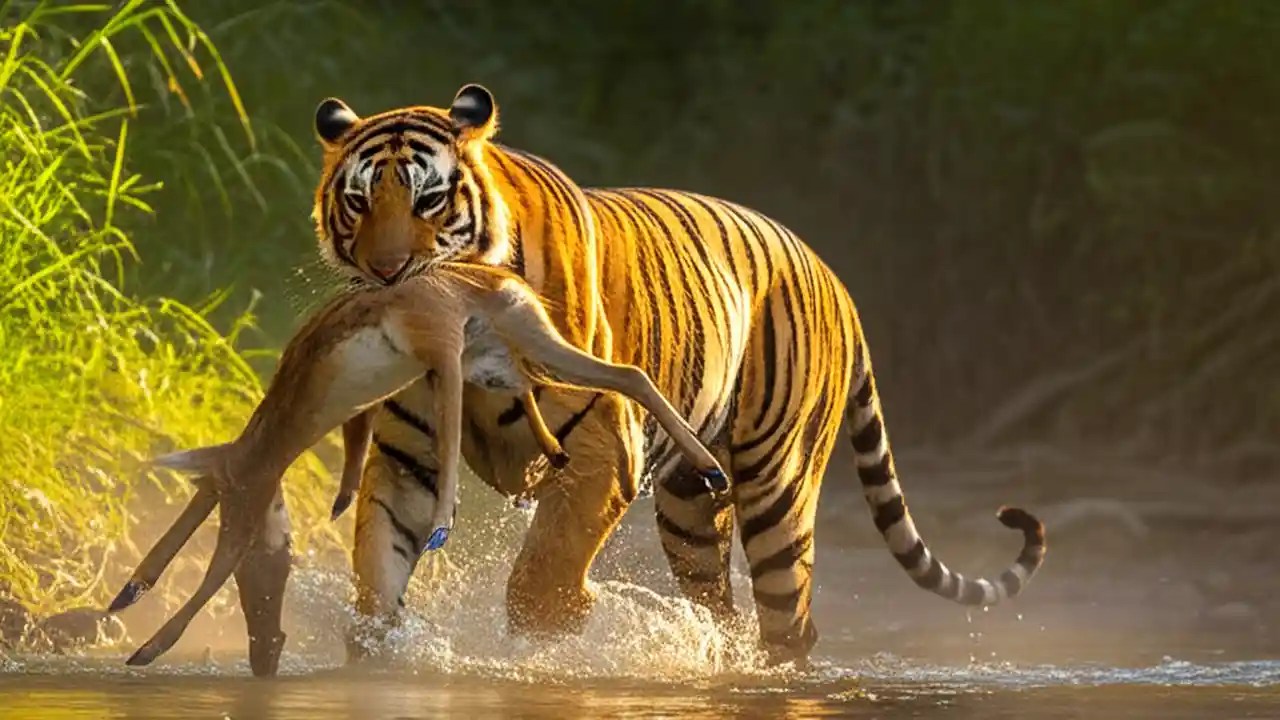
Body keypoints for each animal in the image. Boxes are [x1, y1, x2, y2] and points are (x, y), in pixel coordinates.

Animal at [228, 83, 1048, 676]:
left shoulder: (599, 449)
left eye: (429, 198)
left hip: (778, 487)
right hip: (691, 503)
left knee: (791, 621)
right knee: (721, 606)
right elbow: (377, 575)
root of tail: (835, 278)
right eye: (358, 199)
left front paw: (579, 625)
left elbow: (542, 576)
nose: (387, 273)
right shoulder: (409, 459)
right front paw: (378, 655)